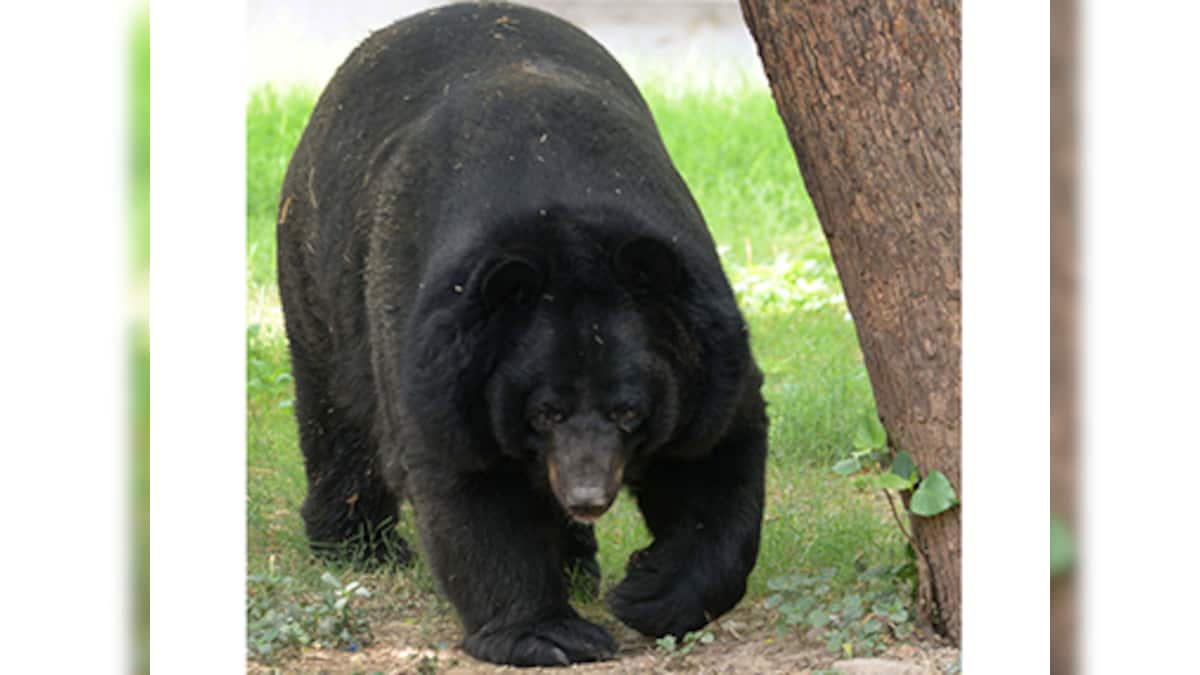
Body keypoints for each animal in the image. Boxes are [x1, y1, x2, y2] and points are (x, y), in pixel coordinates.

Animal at [276, 2, 767, 667]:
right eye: (544, 413)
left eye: (630, 412)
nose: (588, 495)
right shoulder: (438, 343)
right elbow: (467, 482)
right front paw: (552, 632)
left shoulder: (703, 336)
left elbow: (714, 451)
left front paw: (651, 591)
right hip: (319, 266)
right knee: (336, 411)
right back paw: (358, 543)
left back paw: (576, 560)